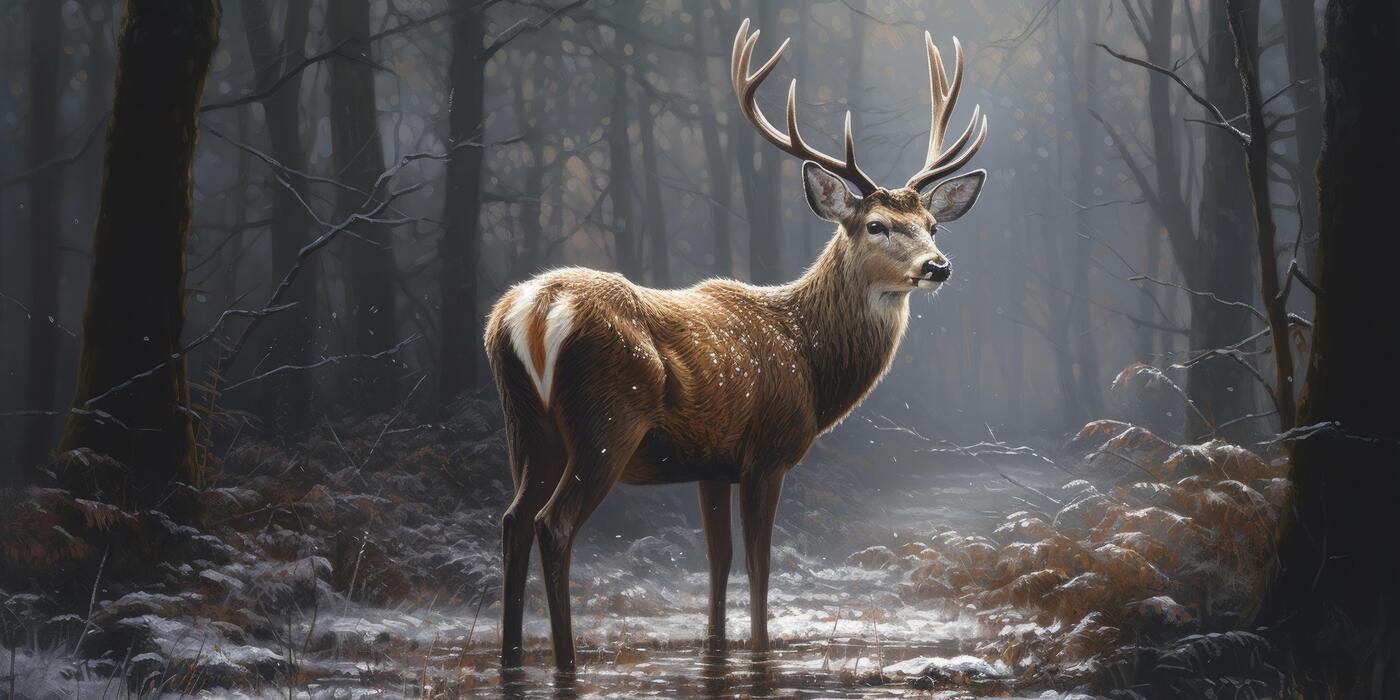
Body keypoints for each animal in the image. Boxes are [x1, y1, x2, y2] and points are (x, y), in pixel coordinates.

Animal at [485, 19, 989, 672]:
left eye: (931, 225)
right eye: (876, 224)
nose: (938, 266)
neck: (809, 363)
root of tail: (532, 312)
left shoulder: (712, 462)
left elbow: (718, 561)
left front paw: (716, 648)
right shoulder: (767, 451)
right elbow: (758, 564)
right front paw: (759, 653)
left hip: (526, 426)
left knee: (512, 520)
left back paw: (511, 658)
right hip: (606, 422)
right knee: (554, 524)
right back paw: (567, 662)